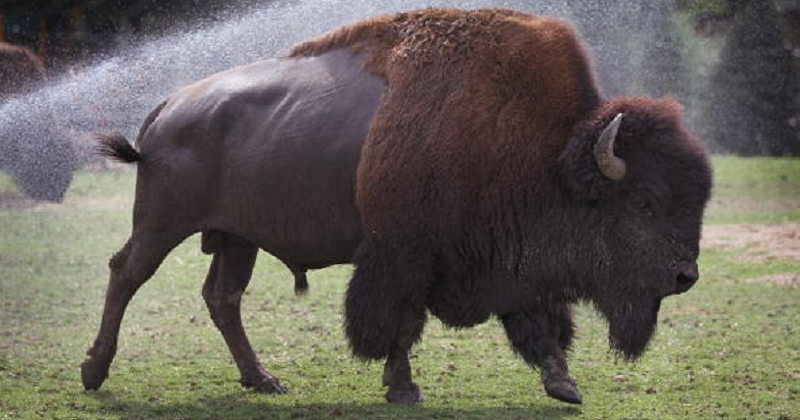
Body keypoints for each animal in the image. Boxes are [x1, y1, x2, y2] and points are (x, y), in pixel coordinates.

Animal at [83, 8, 712, 405]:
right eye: (646, 201)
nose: (686, 276)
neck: (546, 154)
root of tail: (168, 105)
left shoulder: (510, 262)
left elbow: (540, 321)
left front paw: (564, 386)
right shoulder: (403, 257)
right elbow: (402, 324)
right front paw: (404, 388)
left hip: (238, 238)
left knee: (223, 298)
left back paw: (264, 381)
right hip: (162, 223)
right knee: (126, 273)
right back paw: (94, 371)